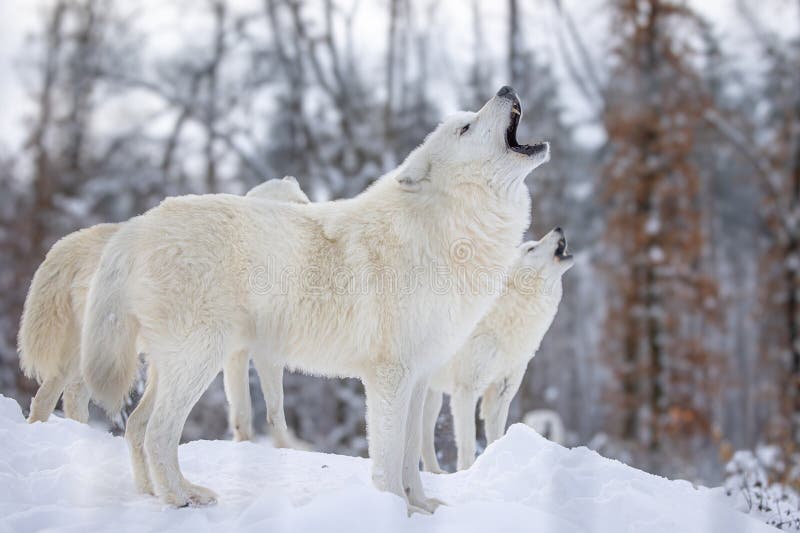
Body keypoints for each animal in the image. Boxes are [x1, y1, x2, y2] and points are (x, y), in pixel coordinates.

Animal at [18, 176, 308, 439]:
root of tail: (74, 241)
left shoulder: (239, 351)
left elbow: (243, 412)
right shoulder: (253, 350)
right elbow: (266, 409)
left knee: (63, 392)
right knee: (66, 392)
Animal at [80, 87, 548, 512]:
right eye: (465, 127)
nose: (506, 88)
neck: (447, 232)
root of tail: (138, 224)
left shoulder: (419, 378)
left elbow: (411, 457)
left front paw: (422, 507)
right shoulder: (390, 377)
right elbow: (390, 457)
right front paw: (394, 509)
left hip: (175, 366)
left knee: (136, 426)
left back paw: (157, 494)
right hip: (200, 360)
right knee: (158, 432)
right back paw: (180, 498)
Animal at [420, 229, 573, 473]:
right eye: (530, 248)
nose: (558, 228)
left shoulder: (502, 392)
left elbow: (496, 437)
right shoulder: (465, 392)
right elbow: (467, 445)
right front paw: (468, 473)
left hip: (431, 399)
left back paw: (435, 472)